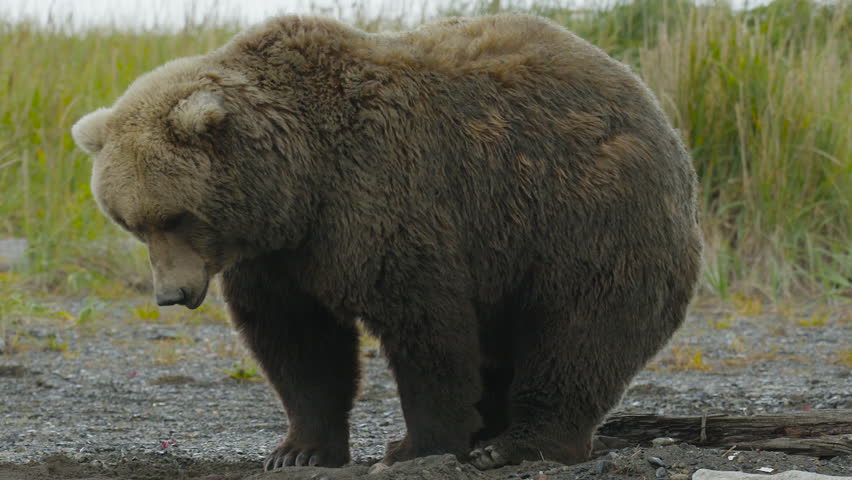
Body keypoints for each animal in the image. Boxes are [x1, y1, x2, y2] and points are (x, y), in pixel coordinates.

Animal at [71, 13, 703, 471]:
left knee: (577, 334)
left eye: (176, 216)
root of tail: (653, 106)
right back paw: (494, 430)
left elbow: (425, 327)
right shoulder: (280, 256)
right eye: (130, 222)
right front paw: (298, 451)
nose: (171, 294)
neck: (298, 186)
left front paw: (414, 446)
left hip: (585, 215)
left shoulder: (380, 196)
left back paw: (517, 443)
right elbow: (298, 342)